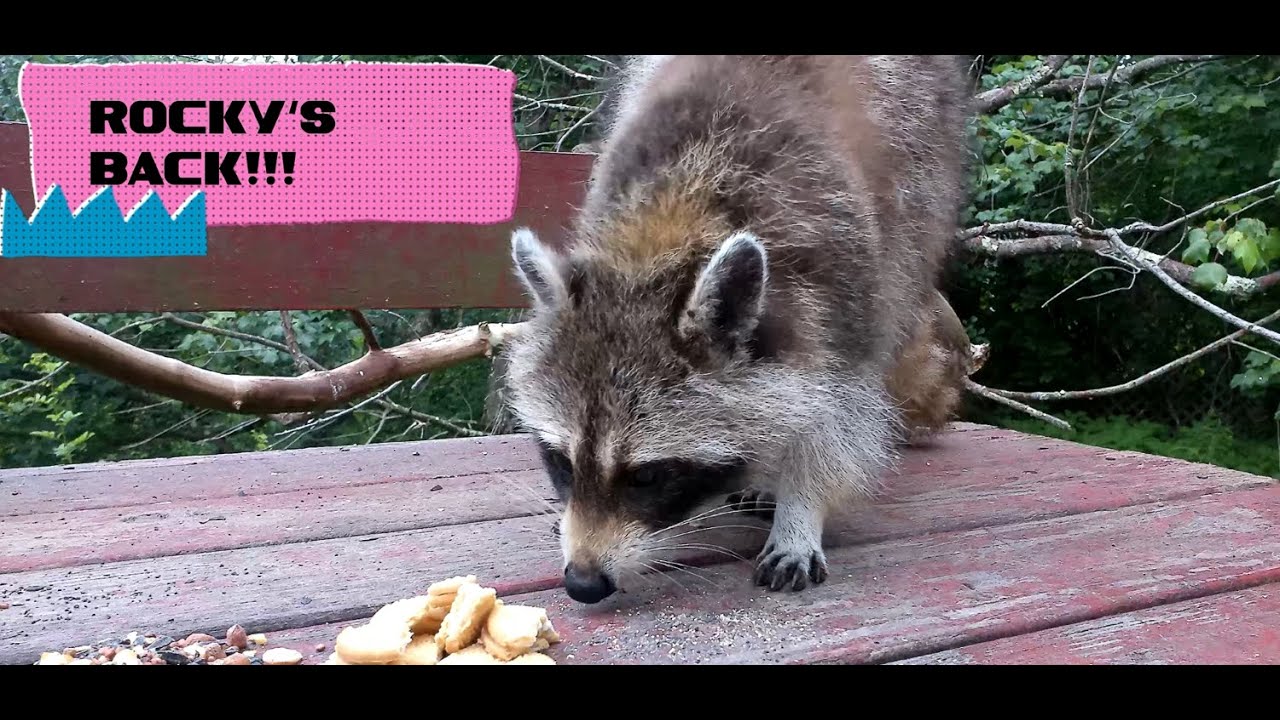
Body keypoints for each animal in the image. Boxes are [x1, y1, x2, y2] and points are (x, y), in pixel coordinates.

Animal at [500, 55, 974, 603]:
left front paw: (801, 508)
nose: (583, 583)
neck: (666, 232)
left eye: (649, 475)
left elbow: (840, 415)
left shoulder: (842, 286)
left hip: (921, 178)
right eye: (560, 461)